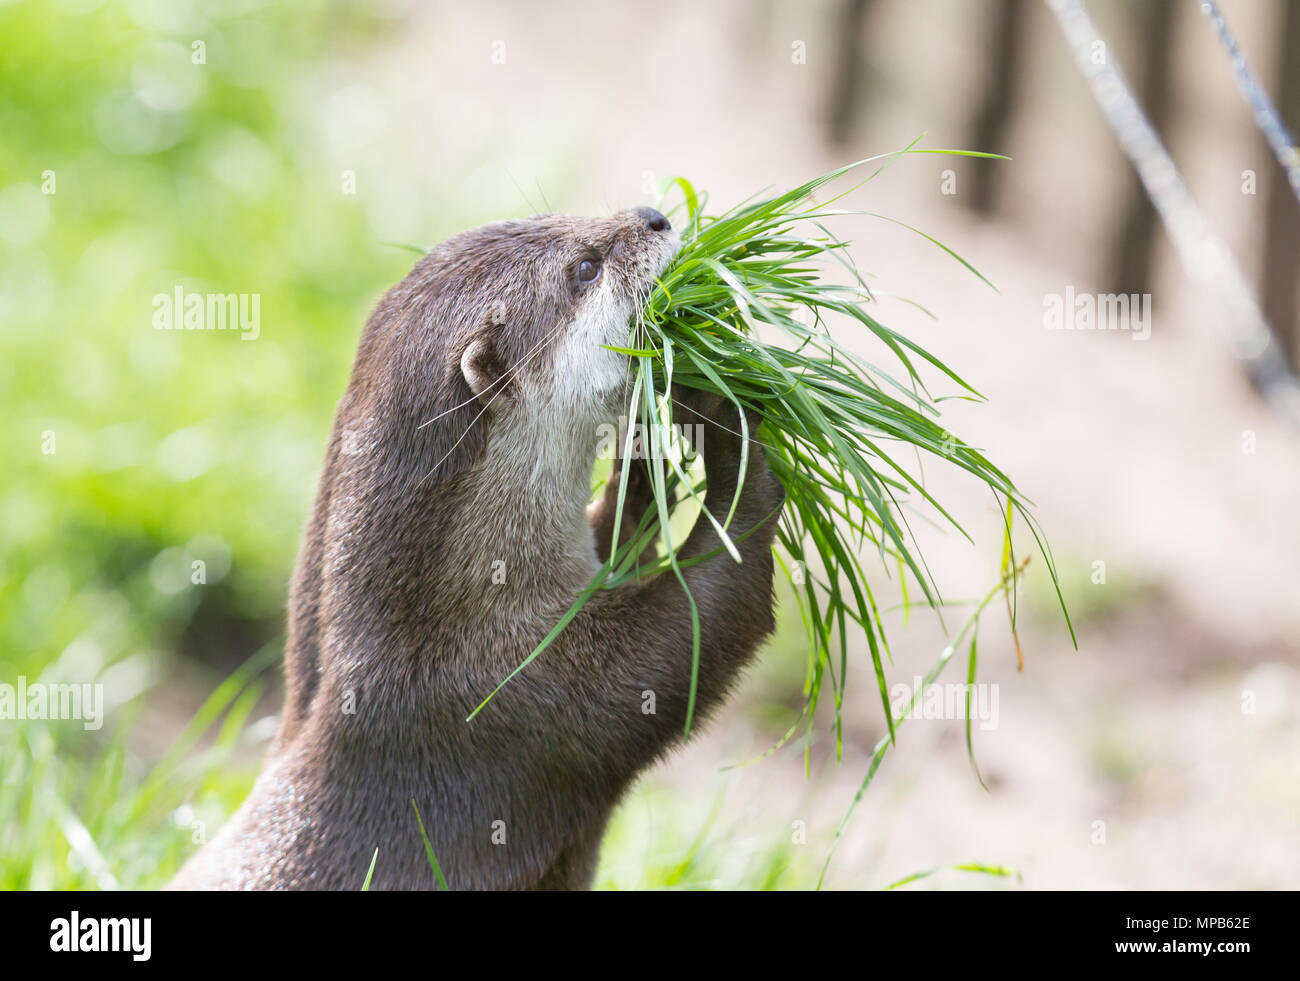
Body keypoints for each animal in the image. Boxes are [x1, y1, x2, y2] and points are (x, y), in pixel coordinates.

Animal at [169, 206, 784, 890]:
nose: (654, 215)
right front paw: (730, 435)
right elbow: (703, 625)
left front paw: (646, 465)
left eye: (558, 215)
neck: (454, 611)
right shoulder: (519, 699)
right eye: (586, 268)